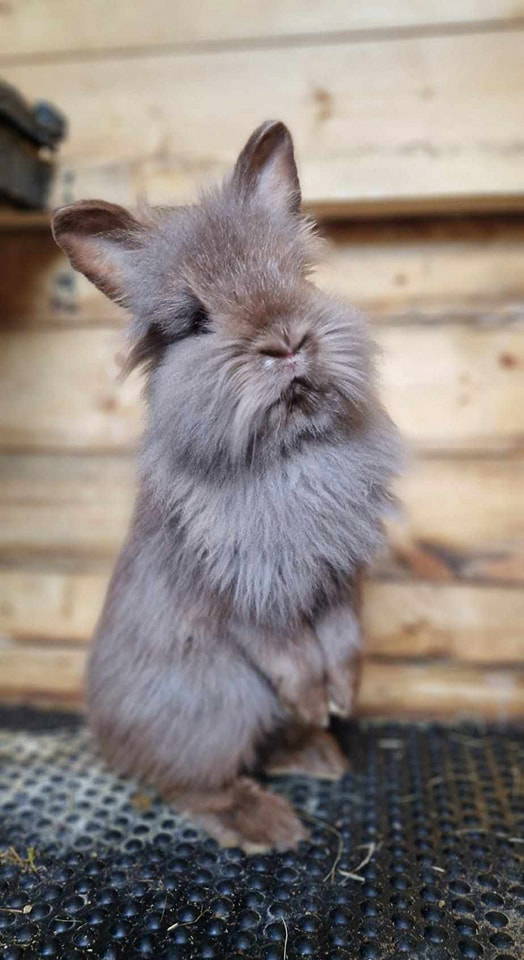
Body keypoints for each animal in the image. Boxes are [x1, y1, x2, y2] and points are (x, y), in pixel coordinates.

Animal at [52, 120, 402, 852]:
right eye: (194, 322)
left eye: (298, 278)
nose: (286, 342)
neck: (290, 454)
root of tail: (107, 736)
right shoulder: (245, 595)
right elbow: (290, 656)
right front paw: (318, 702)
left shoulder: (339, 576)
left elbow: (344, 641)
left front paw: (343, 700)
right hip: (217, 707)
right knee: (193, 782)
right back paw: (269, 821)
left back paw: (319, 754)